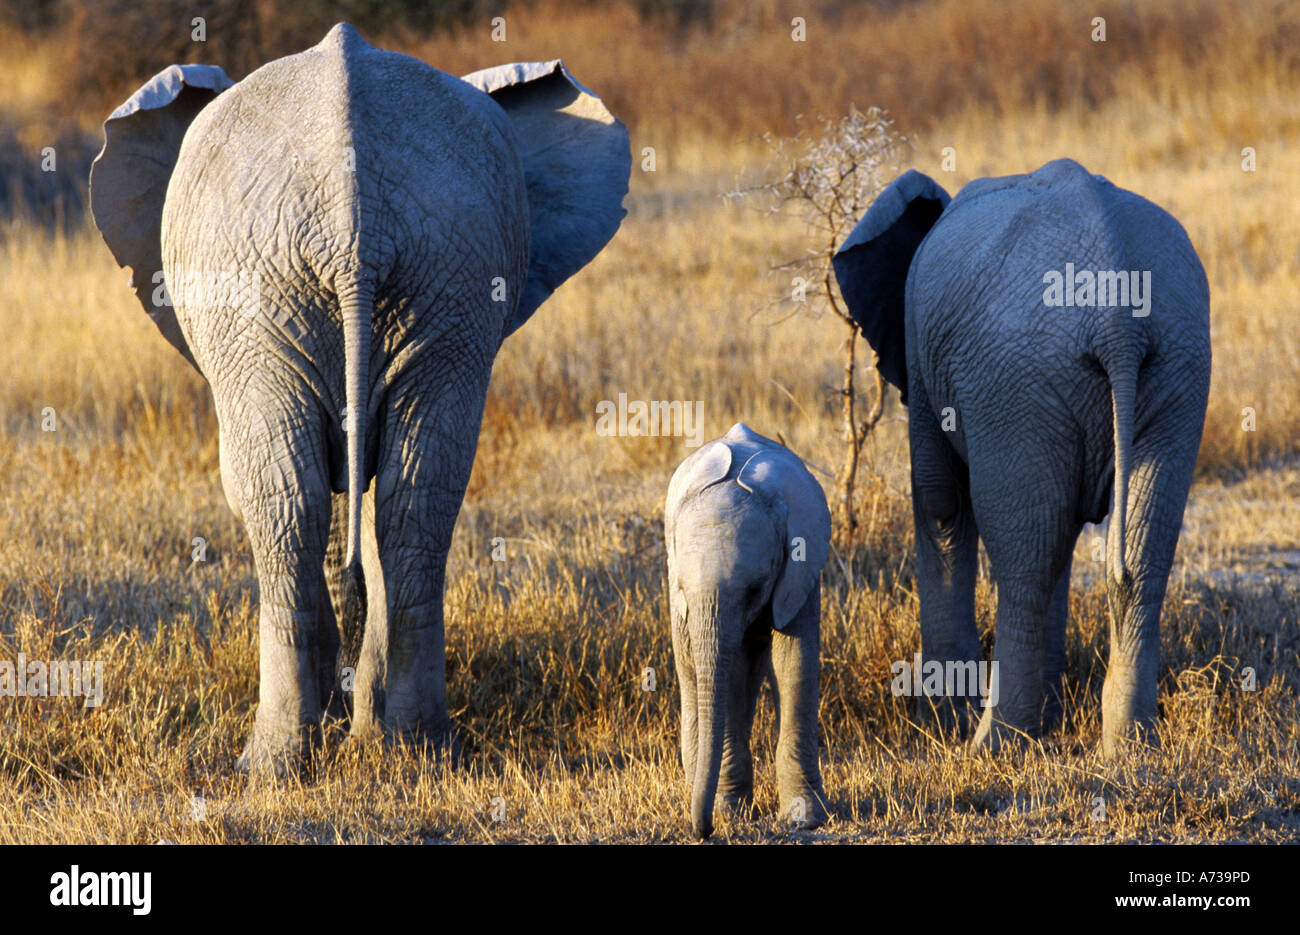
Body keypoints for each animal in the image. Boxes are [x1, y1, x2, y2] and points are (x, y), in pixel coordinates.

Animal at [89, 23, 630, 772]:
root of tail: (353, 225)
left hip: (274, 290)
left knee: (289, 496)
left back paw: (279, 762)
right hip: (433, 277)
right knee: (409, 492)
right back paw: (406, 751)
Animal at [664, 423, 832, 838]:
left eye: (755, 589)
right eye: (683, 589)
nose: (703, 832)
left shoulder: (800, 566)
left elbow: (793, 665)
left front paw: (805, 818)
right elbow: (731, 677)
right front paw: (730, 813)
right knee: (693, 670)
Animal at [832, 158, 1211, 757]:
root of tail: (1119, 321)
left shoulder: (919, 345)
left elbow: (940, 502)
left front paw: (941, 720)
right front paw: (1050, 715)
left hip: (1015, 380)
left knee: (1024, 557)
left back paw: (989, 746)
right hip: (1176, 367)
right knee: (1135, 547)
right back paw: (1129, 747)